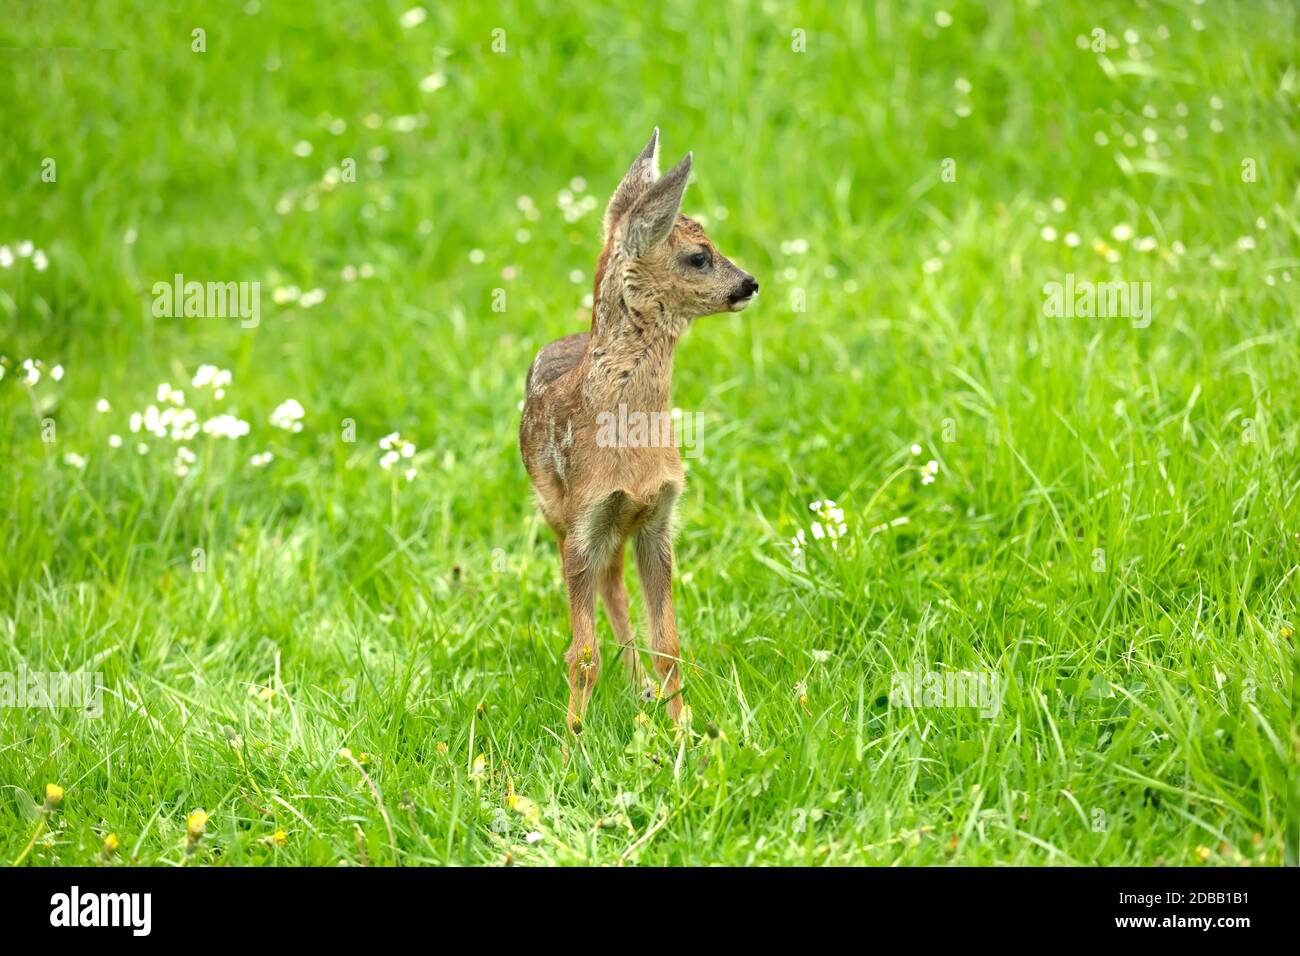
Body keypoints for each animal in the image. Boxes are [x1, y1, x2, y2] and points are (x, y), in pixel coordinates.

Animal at [519, 129, 759, 733]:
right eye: (700, 256)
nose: (750, 283)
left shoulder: (659, 518)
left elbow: (669, 643)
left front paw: (684, 731)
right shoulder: (584, 517)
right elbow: (581, 654)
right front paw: (571, 741)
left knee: (617, 590)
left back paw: (639, 687)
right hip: (555, 515)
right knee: (607, 590)